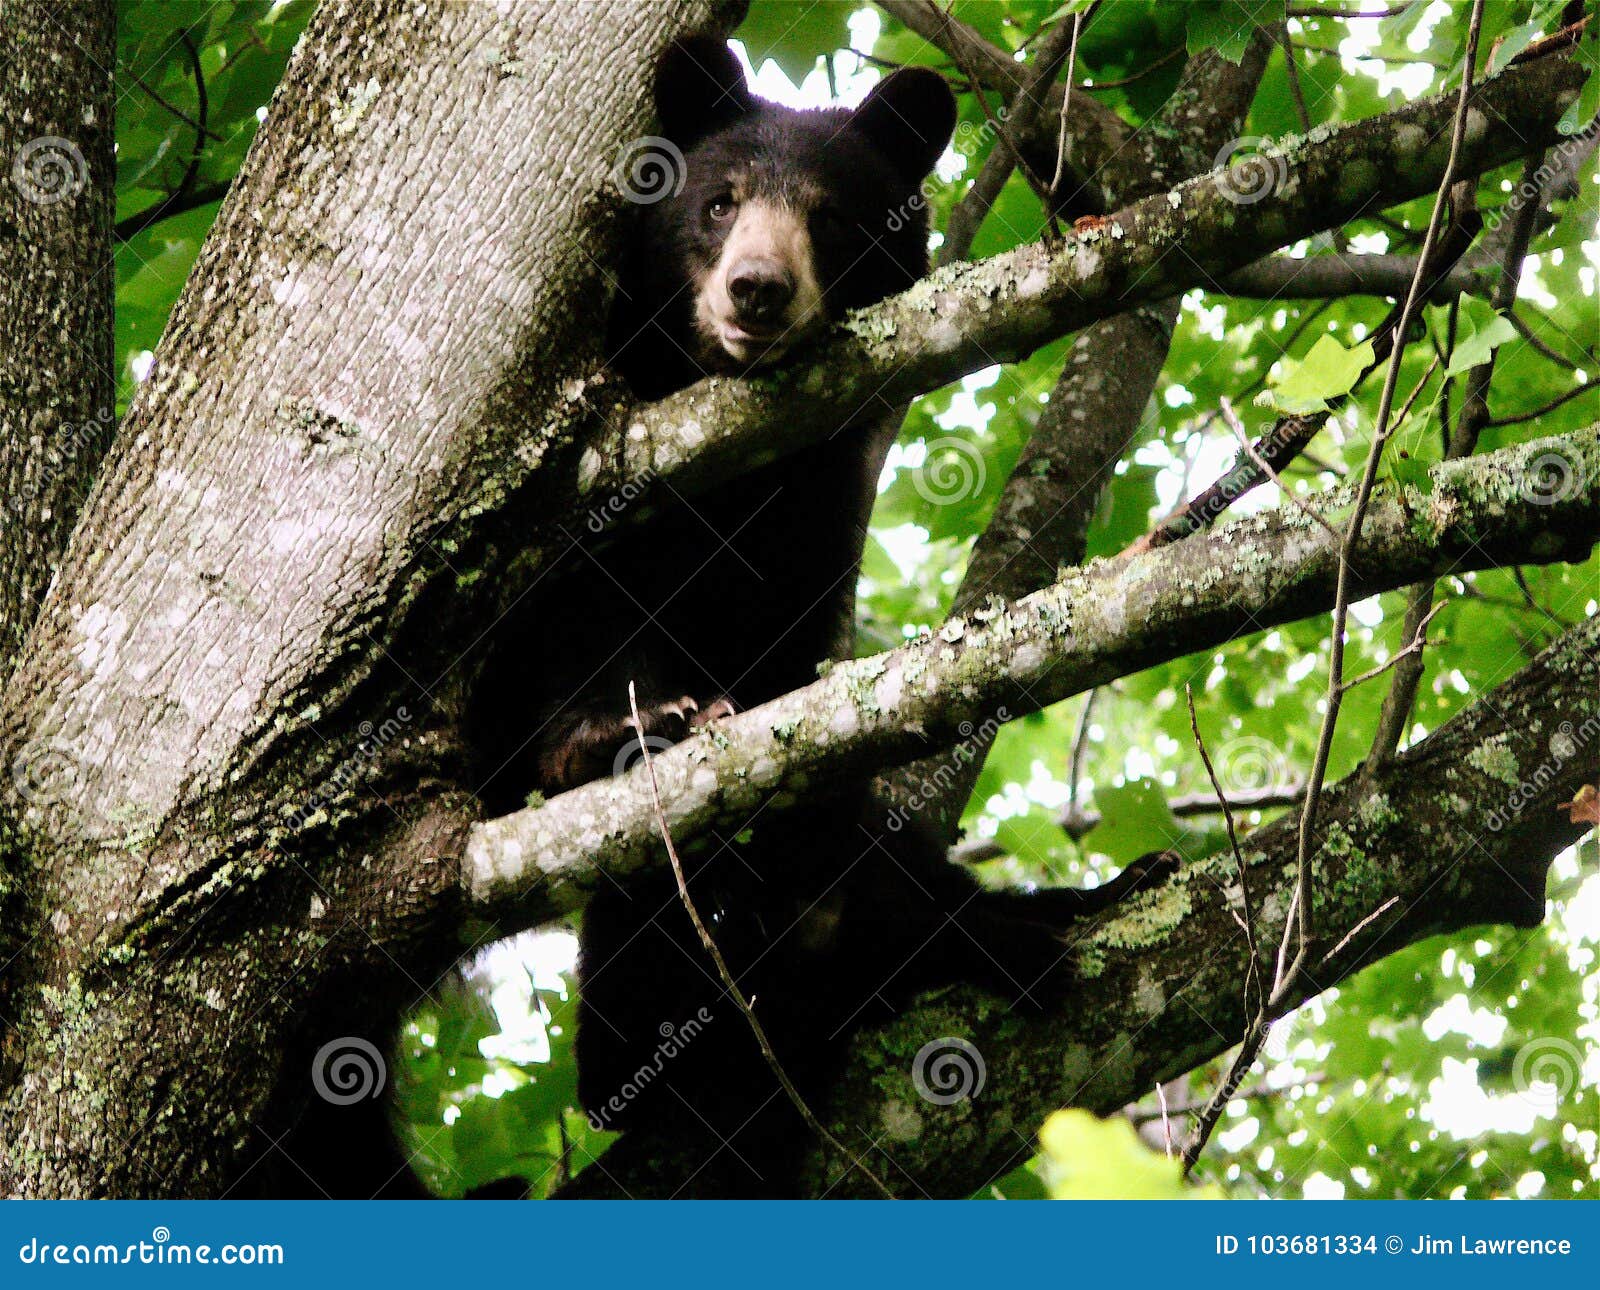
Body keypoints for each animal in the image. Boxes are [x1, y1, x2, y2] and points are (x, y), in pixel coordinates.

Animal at [469, 37, 1177, 1195]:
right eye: (717, 201)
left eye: (835, 217)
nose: (757, 291)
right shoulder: (580, 478)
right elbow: (567, 616)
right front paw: (627, 725)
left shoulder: (813, 519)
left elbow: (790, 677)